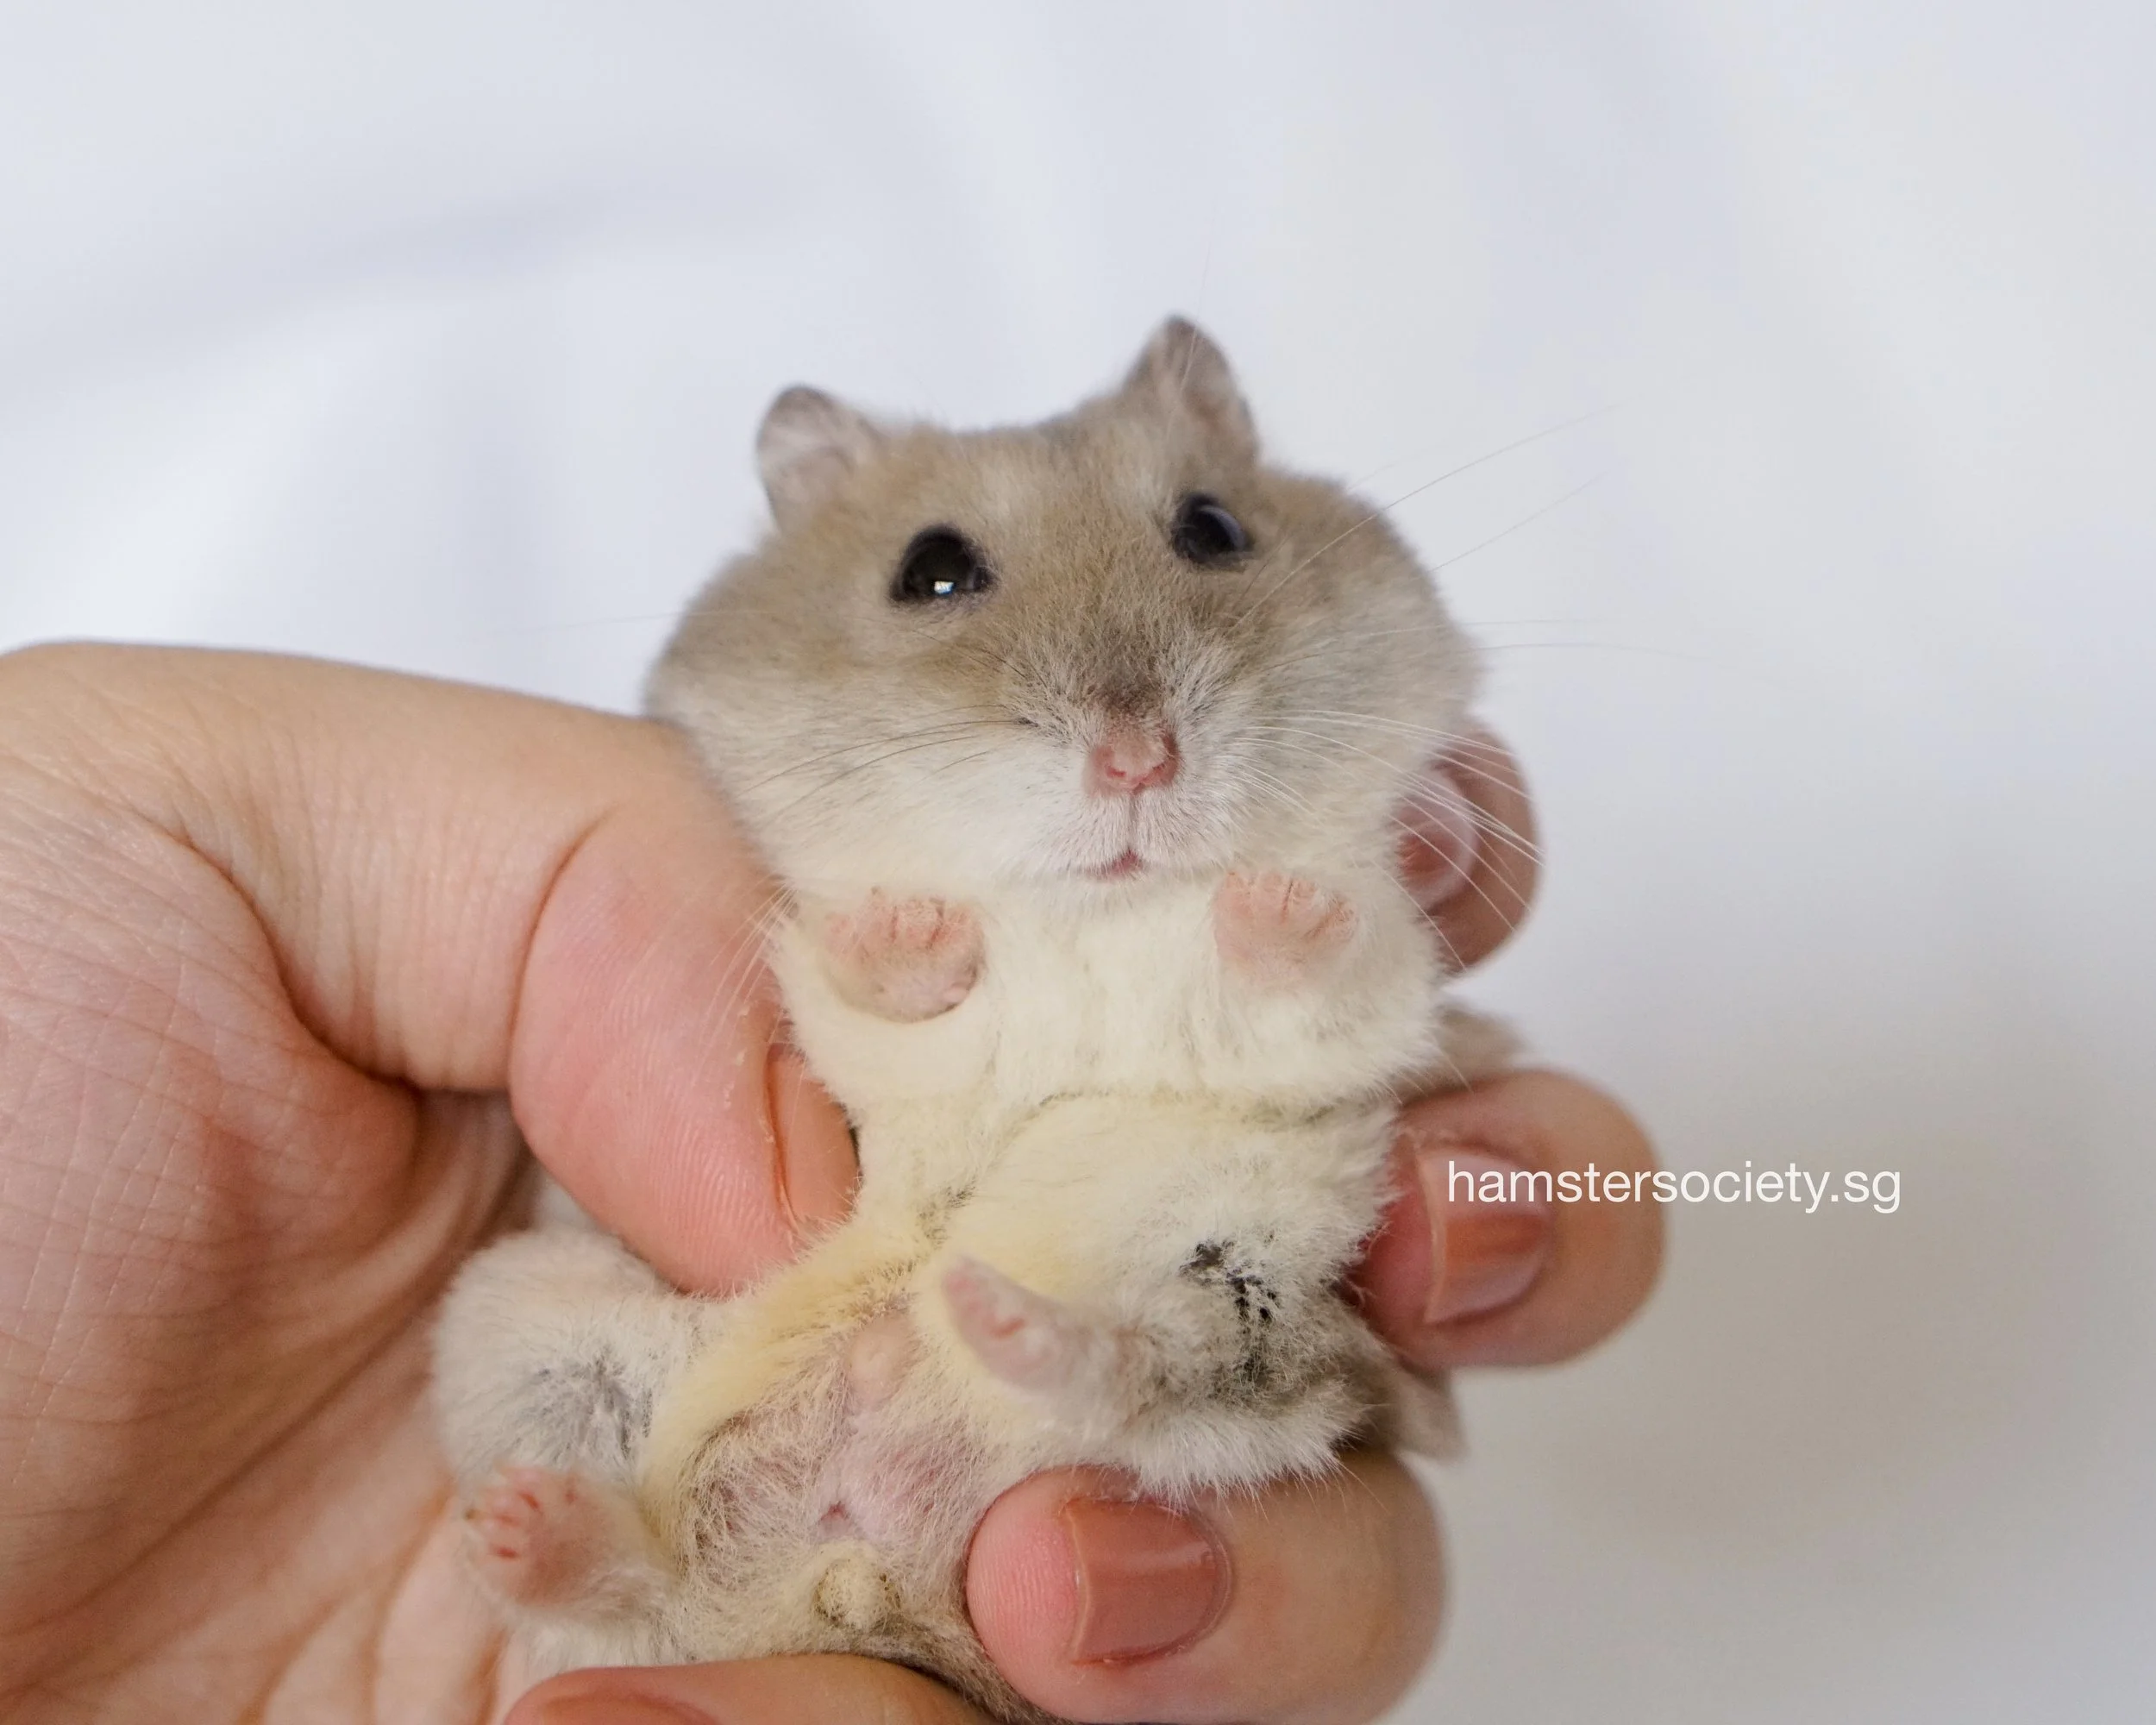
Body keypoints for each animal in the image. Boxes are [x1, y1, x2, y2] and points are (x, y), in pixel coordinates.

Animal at [431, 318, 1510, 1723]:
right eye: (930, 571)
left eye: (1215, 527)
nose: (1137, 759)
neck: (1092, 911)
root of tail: (854, 1579)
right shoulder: (875, 1034)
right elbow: (895, 995)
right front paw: (912, 927)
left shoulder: (1355, 1007)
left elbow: (1307, 975)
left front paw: (1281, 897)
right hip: (528, 1328)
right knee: (637, 1591)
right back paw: (529, 1528)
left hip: (1245, 1288)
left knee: (1124, 1373)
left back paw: (988, 1314)